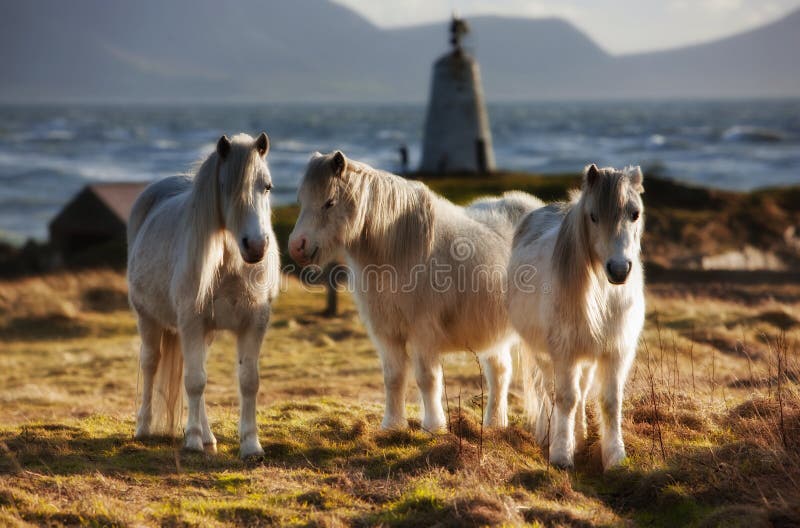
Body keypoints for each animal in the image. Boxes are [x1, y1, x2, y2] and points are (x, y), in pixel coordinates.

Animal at [127, 132, 280, 457]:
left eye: (267, 186)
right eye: (227, 188)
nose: (256, 246)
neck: (228, 266)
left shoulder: (252, 325)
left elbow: (248, 382)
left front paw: (251, 445)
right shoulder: (191, 323)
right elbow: (195, 382)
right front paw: (193, 440)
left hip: (203, 332)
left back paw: (209, 438)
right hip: (148, 319)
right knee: (151, 364)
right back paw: (145, 428)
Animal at [288, 151, 543, 431]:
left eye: (330, 202)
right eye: (301, 200)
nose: (297, 247)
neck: (399, 251)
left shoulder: (423, 332)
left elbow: (426, 378)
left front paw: (433, 426)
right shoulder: (386, 333)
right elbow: (394, 377)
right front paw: (392, 425)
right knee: (500, 372)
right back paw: (495, 424)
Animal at [507, 164, 645, 470]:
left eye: (635, 213)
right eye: (593, 216)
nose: (619, 270)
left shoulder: (615, 352)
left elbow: (609, 401)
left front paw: (615, 457)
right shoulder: (564, 352)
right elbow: (565, 399)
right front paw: (560, 454)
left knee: (582, 392)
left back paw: (579, 436)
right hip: (544, 354)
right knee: (549, 391)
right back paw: (551, 435)